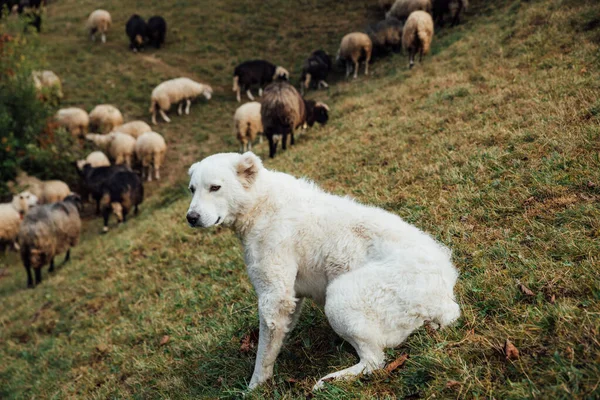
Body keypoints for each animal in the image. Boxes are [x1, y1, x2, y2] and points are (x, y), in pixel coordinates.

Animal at [186, 152, 460, 390]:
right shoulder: (291, 296)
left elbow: (264, 352)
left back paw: (330, 380)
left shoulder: (274, 295)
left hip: (341, 296)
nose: (191, 217)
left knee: (374, 360)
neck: (261, 203)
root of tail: (444, 302)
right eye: (192, 189)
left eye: (215, 187)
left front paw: (255, 387)